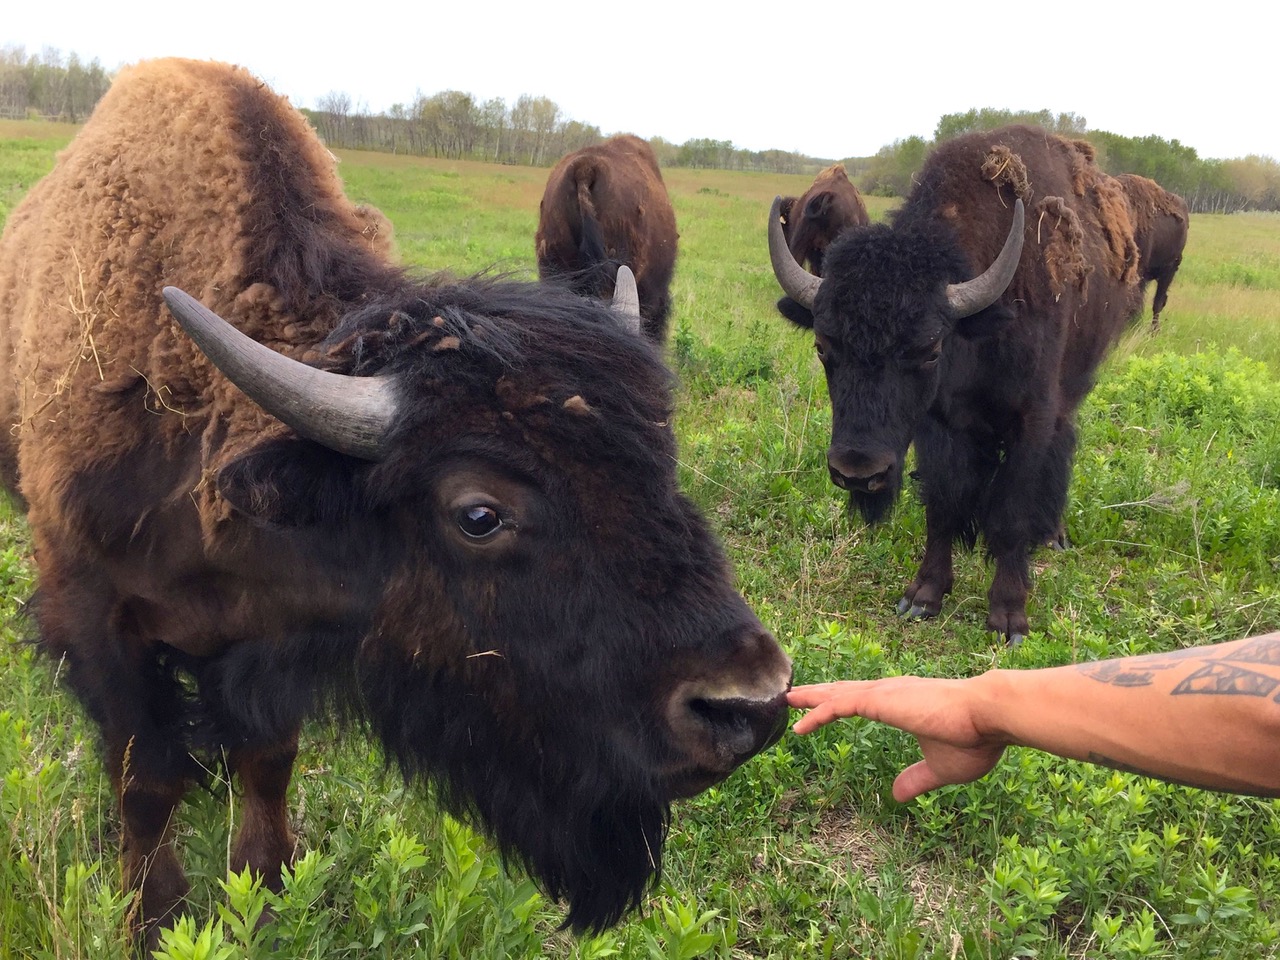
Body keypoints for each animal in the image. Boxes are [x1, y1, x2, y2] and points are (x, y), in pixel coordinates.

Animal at [770, 126, 1141, 644]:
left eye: (929, 348)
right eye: (823, 346)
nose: (858, 472)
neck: (978, 328)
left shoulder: (1032, 419)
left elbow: (1012, 511)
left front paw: (1009, 616)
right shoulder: (937, 426)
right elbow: (943, 502)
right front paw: (924, 595)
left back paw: (1052, 535)